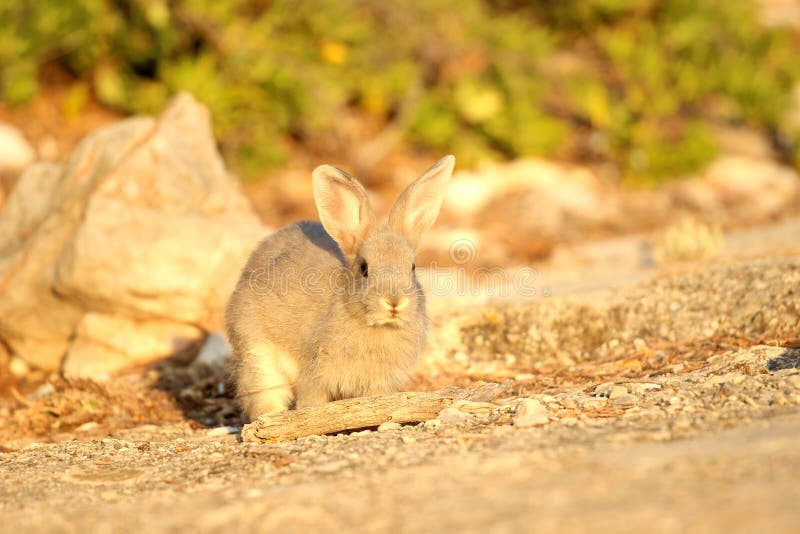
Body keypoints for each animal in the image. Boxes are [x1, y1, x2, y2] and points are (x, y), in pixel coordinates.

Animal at [225, 155, 455, 421]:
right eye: (364, 268)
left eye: (413, 267)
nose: (394, 302)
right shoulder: (314, 373)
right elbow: (310, 399)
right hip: (258, 356)